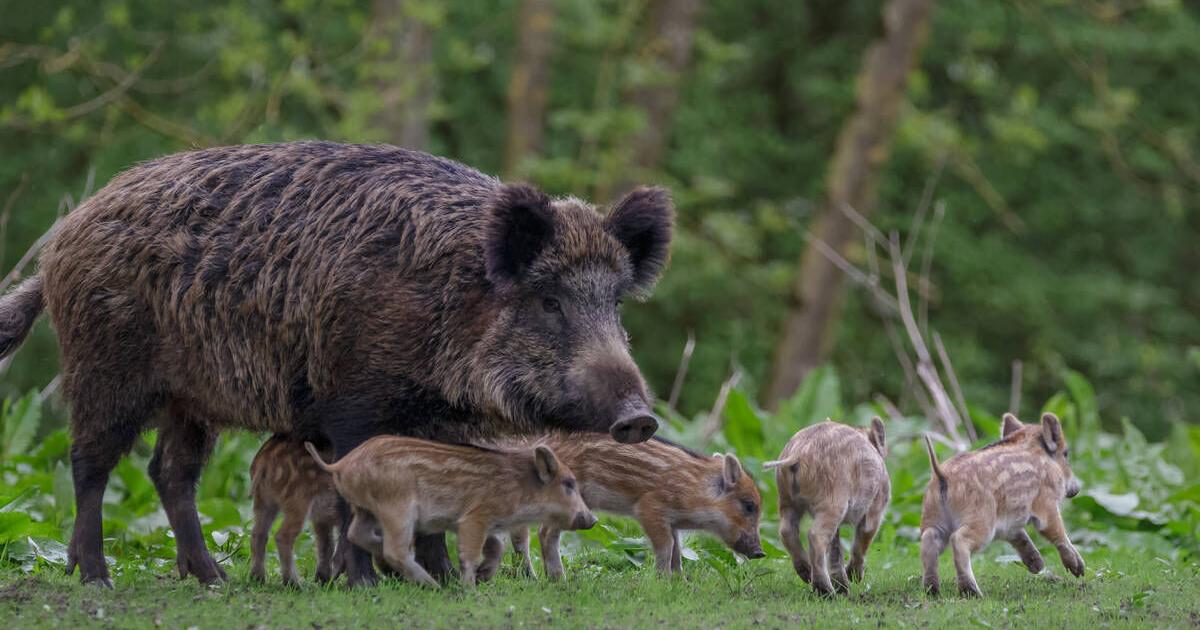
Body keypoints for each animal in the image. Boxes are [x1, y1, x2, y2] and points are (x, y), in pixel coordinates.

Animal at [248, 434, 344, 585]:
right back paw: (294, 583)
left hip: (263, 501)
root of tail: (263, 462)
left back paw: (258, 578)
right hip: (298, 501)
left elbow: (326, 543)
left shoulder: (322, 519)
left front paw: (323, 579)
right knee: (282, 536)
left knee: (258, 533)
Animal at [304, 436, 596, 588]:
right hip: (397, 508)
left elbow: (495, 547)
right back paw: (432, 585)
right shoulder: (474, 517)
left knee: (357, 534)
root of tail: (341, 464)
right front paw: (469, 588)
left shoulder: (482, 523)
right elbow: (469, 554)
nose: (592, 519)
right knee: (393, 550)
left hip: (365, 508)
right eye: (569, 484)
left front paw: (482, 577)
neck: (519, 486)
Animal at [489, 433, 764, 579]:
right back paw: (559, 579)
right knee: (544, 533)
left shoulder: (671, 521)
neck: (696, 490)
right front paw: (662, 580)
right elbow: (666, 547)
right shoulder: (649, 508)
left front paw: (679, 581)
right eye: (748, 506)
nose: (760, 553)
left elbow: (677, 549)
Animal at [764, 418, 890, 596]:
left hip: (787, 500)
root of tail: (798, 454)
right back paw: (826, 591)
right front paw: (853, 578)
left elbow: (836, 549)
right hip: (832, 503)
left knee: (786, 531)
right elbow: (863, 538)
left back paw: (808, 575)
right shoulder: (875, 510)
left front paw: (844, 588)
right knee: (815, 536)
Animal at [920, 412, 1085, 597]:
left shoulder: (1008, 522)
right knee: (958, 540)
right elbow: (1058, 533)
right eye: (1065, 453)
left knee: (928, 541)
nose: (1076, 489)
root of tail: (942, 475)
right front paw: (1079, 570)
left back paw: (933, 590)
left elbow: (1020, 536)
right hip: (981, 522)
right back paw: (972, 592)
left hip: (933, 519)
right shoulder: (1046, 505)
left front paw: (1038, 566)